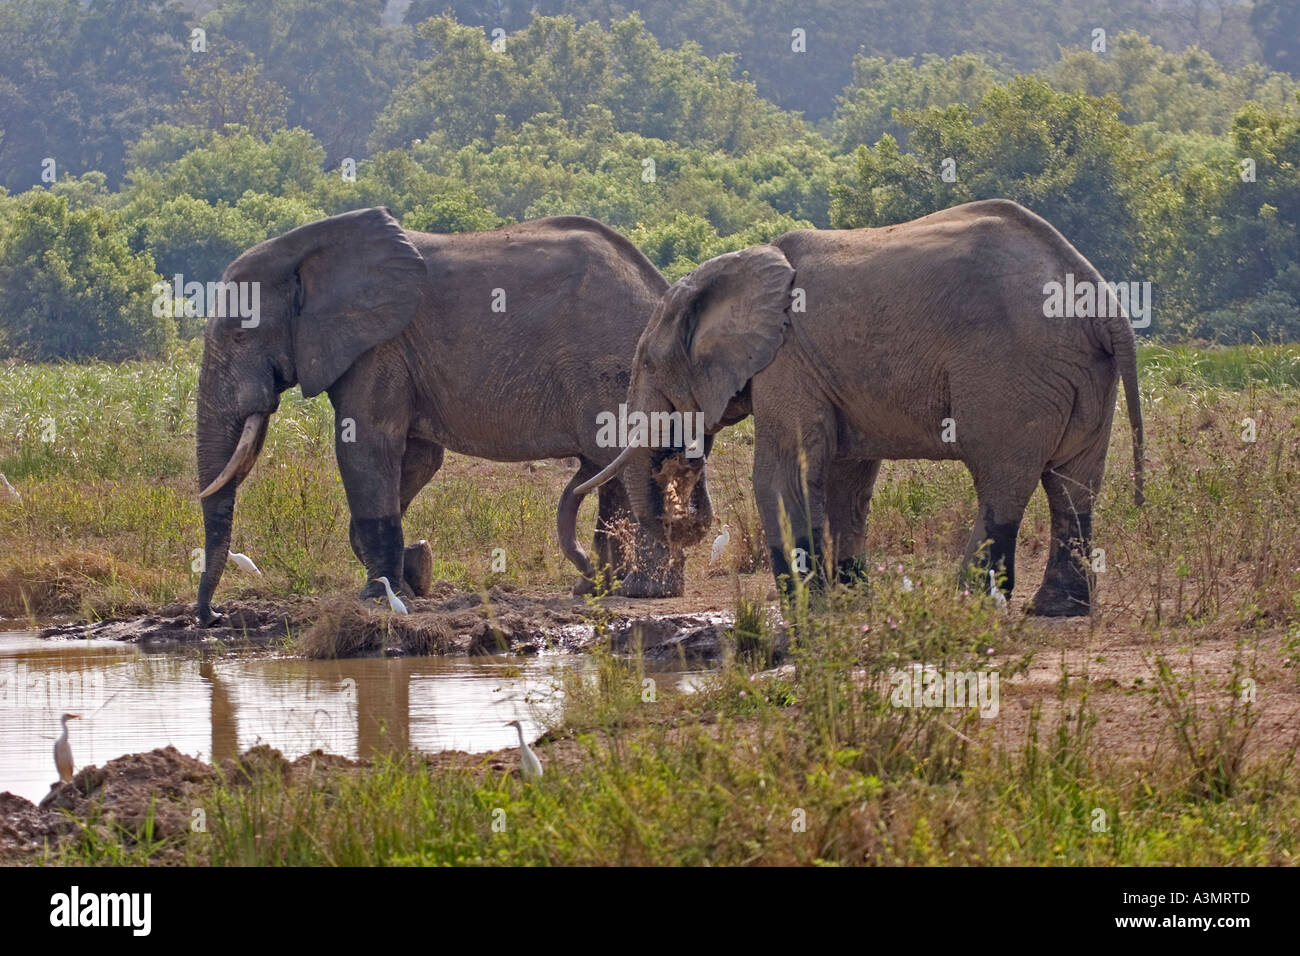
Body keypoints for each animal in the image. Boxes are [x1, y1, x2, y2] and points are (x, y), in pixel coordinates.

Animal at [194, 207, 711, 627]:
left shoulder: (379, 346)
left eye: (239, 334)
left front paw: (381, 595)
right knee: (609, 471)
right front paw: (412, 572)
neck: (306, 248)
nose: (212, 617)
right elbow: (418, 459)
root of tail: (660, 287)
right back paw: (598, 587)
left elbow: (366, 444)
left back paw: (642, 591)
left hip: (618, 369)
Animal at [577, 199, 1144, 616]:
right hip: (1084, 375)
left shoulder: (789, 361)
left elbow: (782, 473)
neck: (737, 268)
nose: (681, 464)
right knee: (1072, 485)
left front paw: (805, 605)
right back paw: (1056, 609)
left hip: (1013, 373)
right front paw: (849, 599)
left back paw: (971, 603)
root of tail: (1103, 300)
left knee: (1003, 479)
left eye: (647, 363)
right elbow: (848, 478)